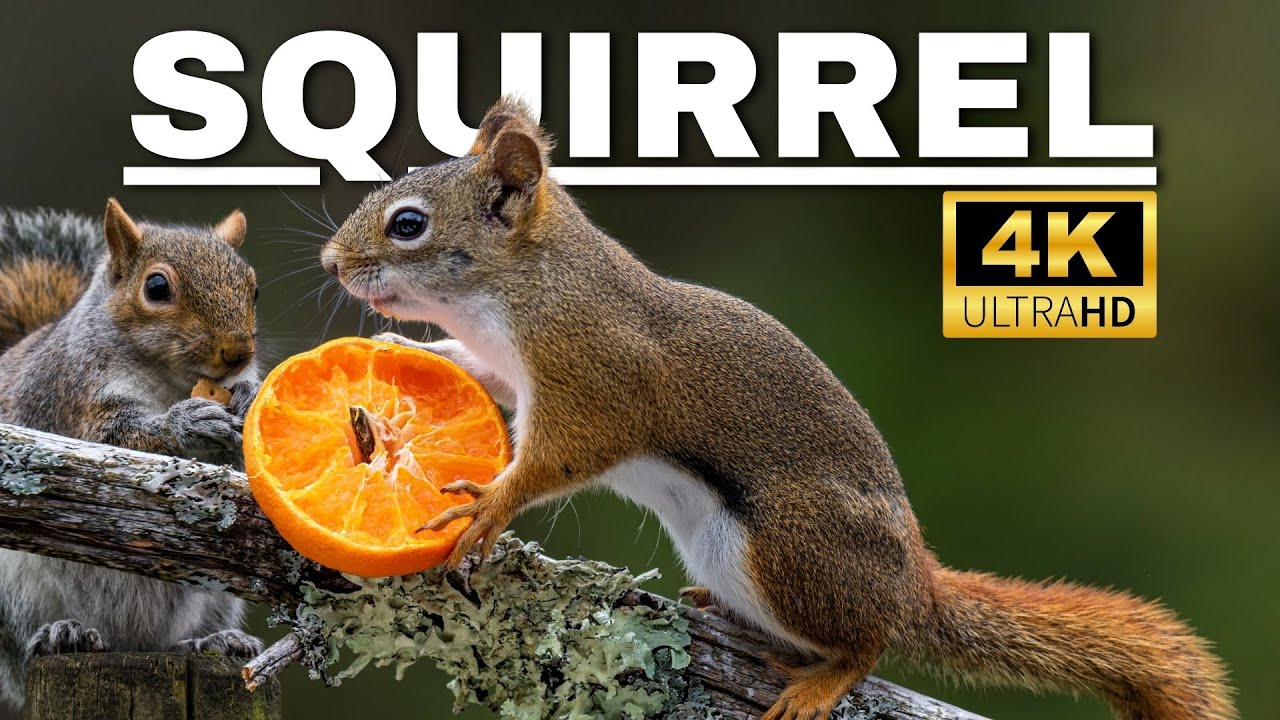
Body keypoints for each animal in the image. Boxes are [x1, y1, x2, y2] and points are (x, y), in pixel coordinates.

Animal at [0, 200, 264, 711]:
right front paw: (186, 425)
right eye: (157, 287)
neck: (168, 379)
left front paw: (247, 396)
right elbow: (115, 445)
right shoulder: (75, 396)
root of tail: (128, 643)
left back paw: (210, 642)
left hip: (217, 593)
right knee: (21, 655)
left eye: (254, 288)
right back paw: (64, 635)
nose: (238, 354)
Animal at [320, 97, 1235, 720]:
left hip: (790, 549)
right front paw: (411, 355)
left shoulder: (596, 380)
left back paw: (826, 678)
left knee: (870, 641)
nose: (331, 263)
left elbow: (558, 457)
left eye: (408, 224)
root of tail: (914, 584)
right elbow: (481, 375)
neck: (526, 289)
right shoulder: (516, 368)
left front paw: (490, 505)